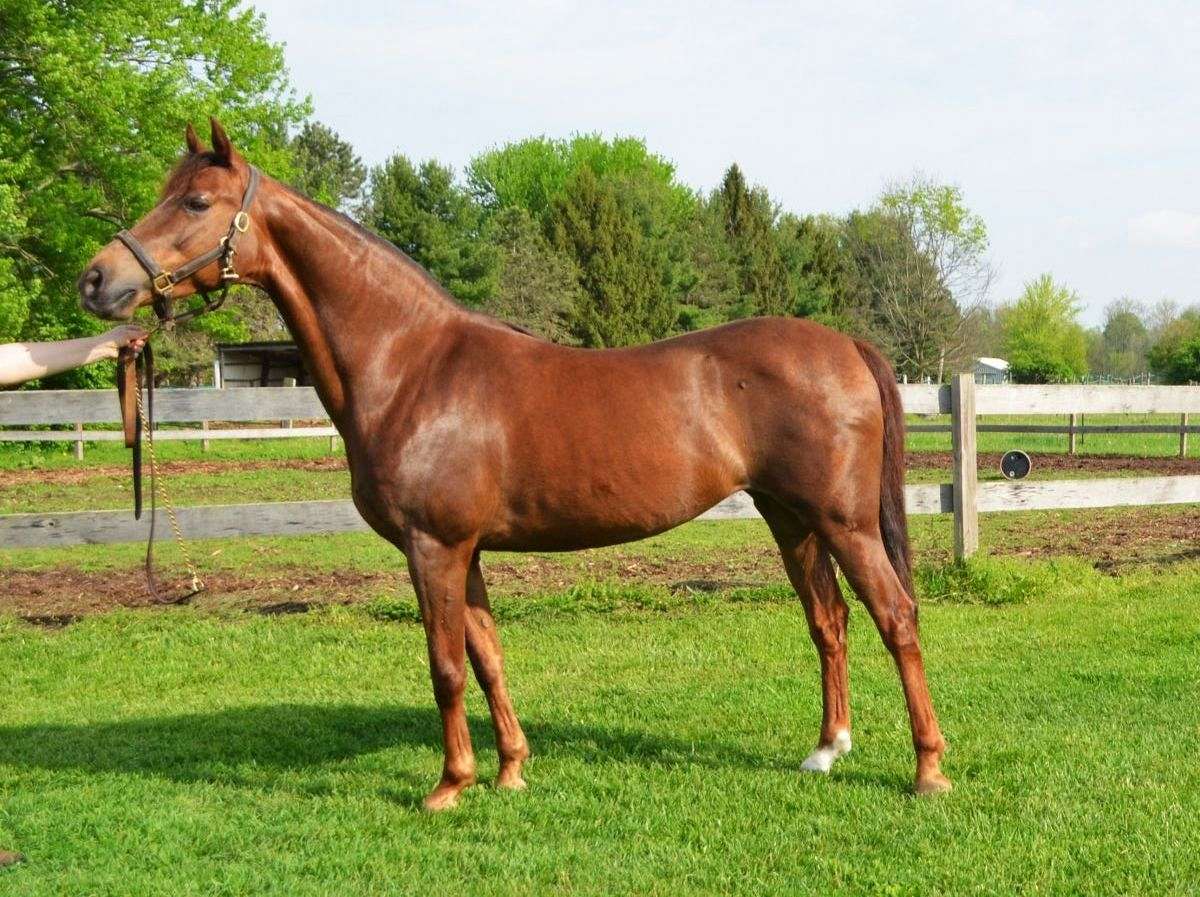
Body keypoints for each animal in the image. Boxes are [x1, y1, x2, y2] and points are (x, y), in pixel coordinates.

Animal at [78, 119, 950, 809]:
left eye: (196, 203)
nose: (97, 280)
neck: (411, 364)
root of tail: (846, 344)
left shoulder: (433, 546)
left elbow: (444, 667)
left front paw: (448, 785)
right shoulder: (463, 552)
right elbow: (488, 655)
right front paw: (509, 771)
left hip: (843, 520)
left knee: (896, 617)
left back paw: (928, 770)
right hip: (790, 517)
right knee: (829, 622)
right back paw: (826, 750)